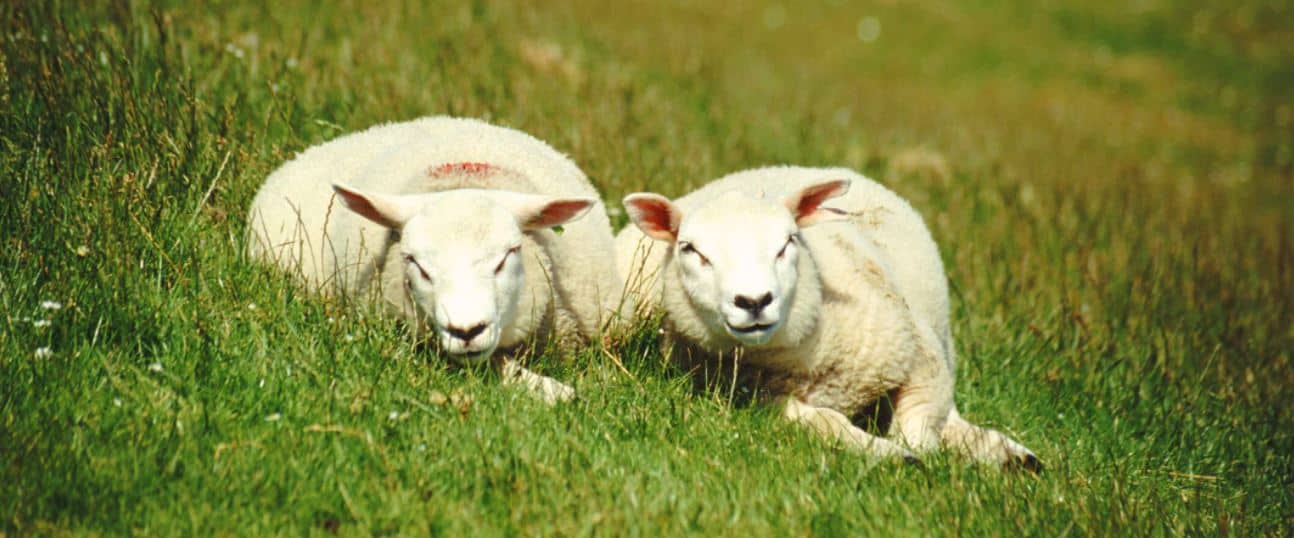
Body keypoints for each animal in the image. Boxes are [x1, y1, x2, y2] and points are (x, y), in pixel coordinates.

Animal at [615, 166, 1040, 469]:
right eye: (691, 250)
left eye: (788, 242)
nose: (754, 301)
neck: (813, 363)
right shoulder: (755, 398)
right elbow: (824, 422)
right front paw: (889, 455)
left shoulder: (923, 357)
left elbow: (920, 423)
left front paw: (919, 455)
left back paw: (1011, 455)